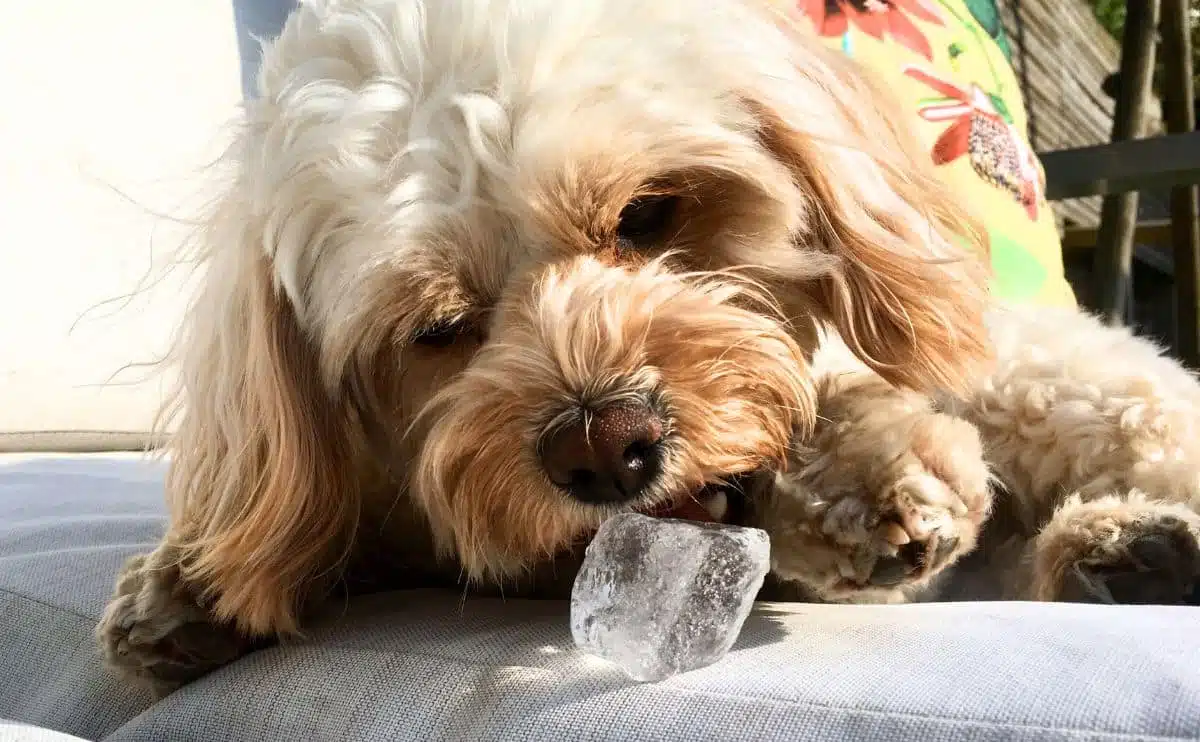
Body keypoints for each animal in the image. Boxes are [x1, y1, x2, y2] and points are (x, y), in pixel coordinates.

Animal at [93, 0, 1200, 691]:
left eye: (647, 212)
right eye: (438, 327)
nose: (604, 448)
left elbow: (831, 406)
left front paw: (863, 484)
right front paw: (190, 583)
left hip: (1062, 389)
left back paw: (1127, 540)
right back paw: (1115, 556)